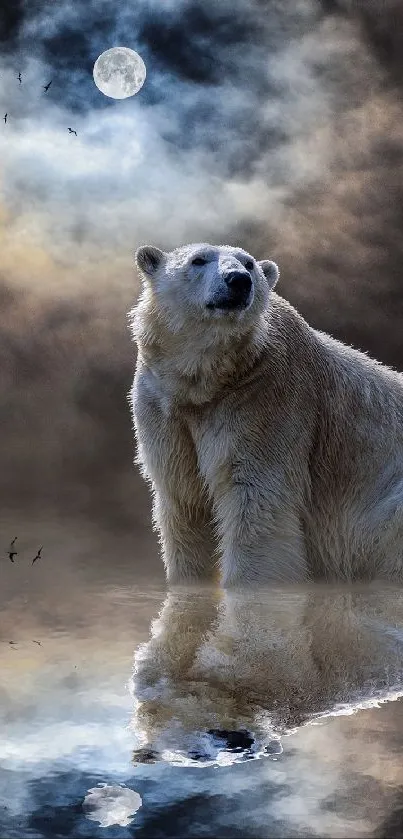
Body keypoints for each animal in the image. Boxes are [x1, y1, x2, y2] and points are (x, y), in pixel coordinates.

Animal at [129, 242, 403, 586]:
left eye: (249, 264)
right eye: (198, 259)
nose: (238, 280)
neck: (207, 381)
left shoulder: (266, 399)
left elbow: (257, 501)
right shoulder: (163, 407)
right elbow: (184, 502)